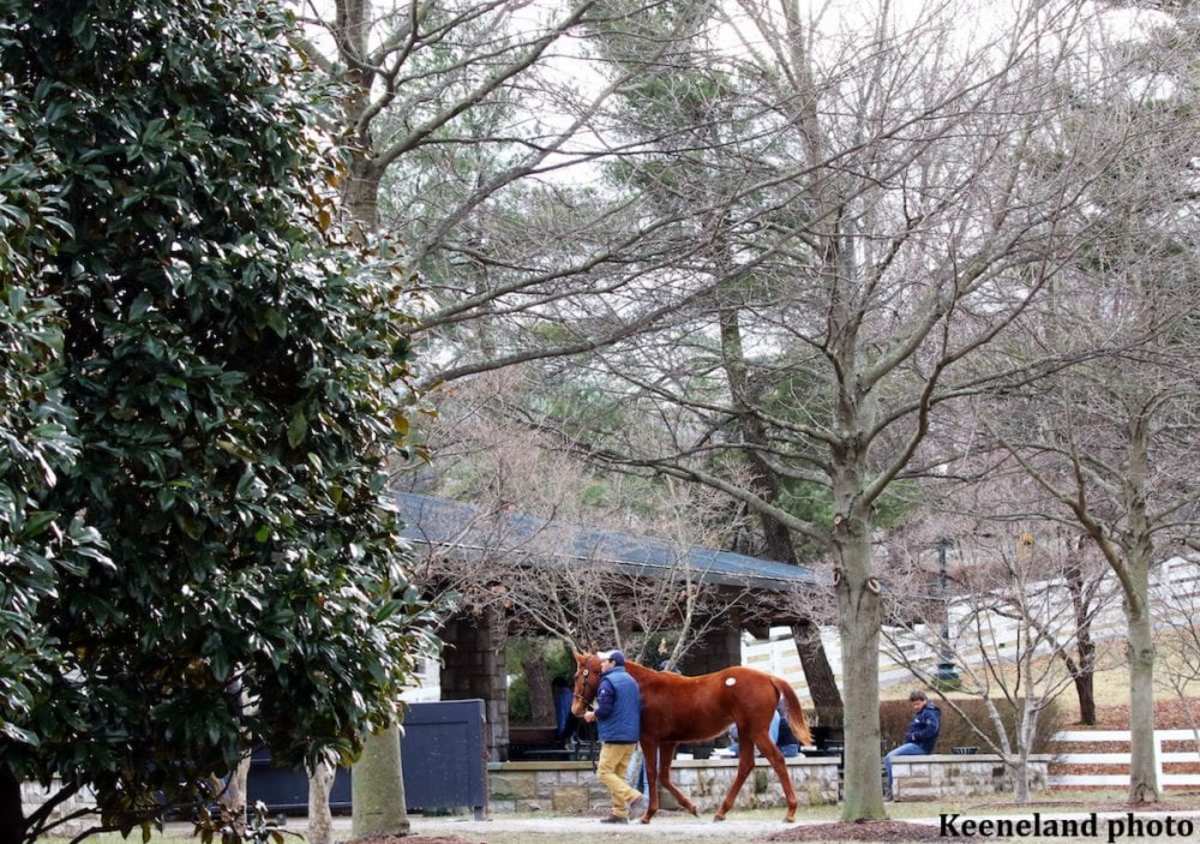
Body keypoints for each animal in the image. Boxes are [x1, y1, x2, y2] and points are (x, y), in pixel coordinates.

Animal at [570, 651, 813, 824]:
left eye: (579, 676)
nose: (576, 709)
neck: (643, 688)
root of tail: (770, 678)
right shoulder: (668, 742)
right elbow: (664, 776)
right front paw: (692, 807)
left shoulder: (650, 740)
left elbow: (652, 773)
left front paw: (648, 815)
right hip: (746, 731)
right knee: (746, 765)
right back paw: (721, 812)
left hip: (757, 731)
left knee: (777, 759)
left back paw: (790, 812)